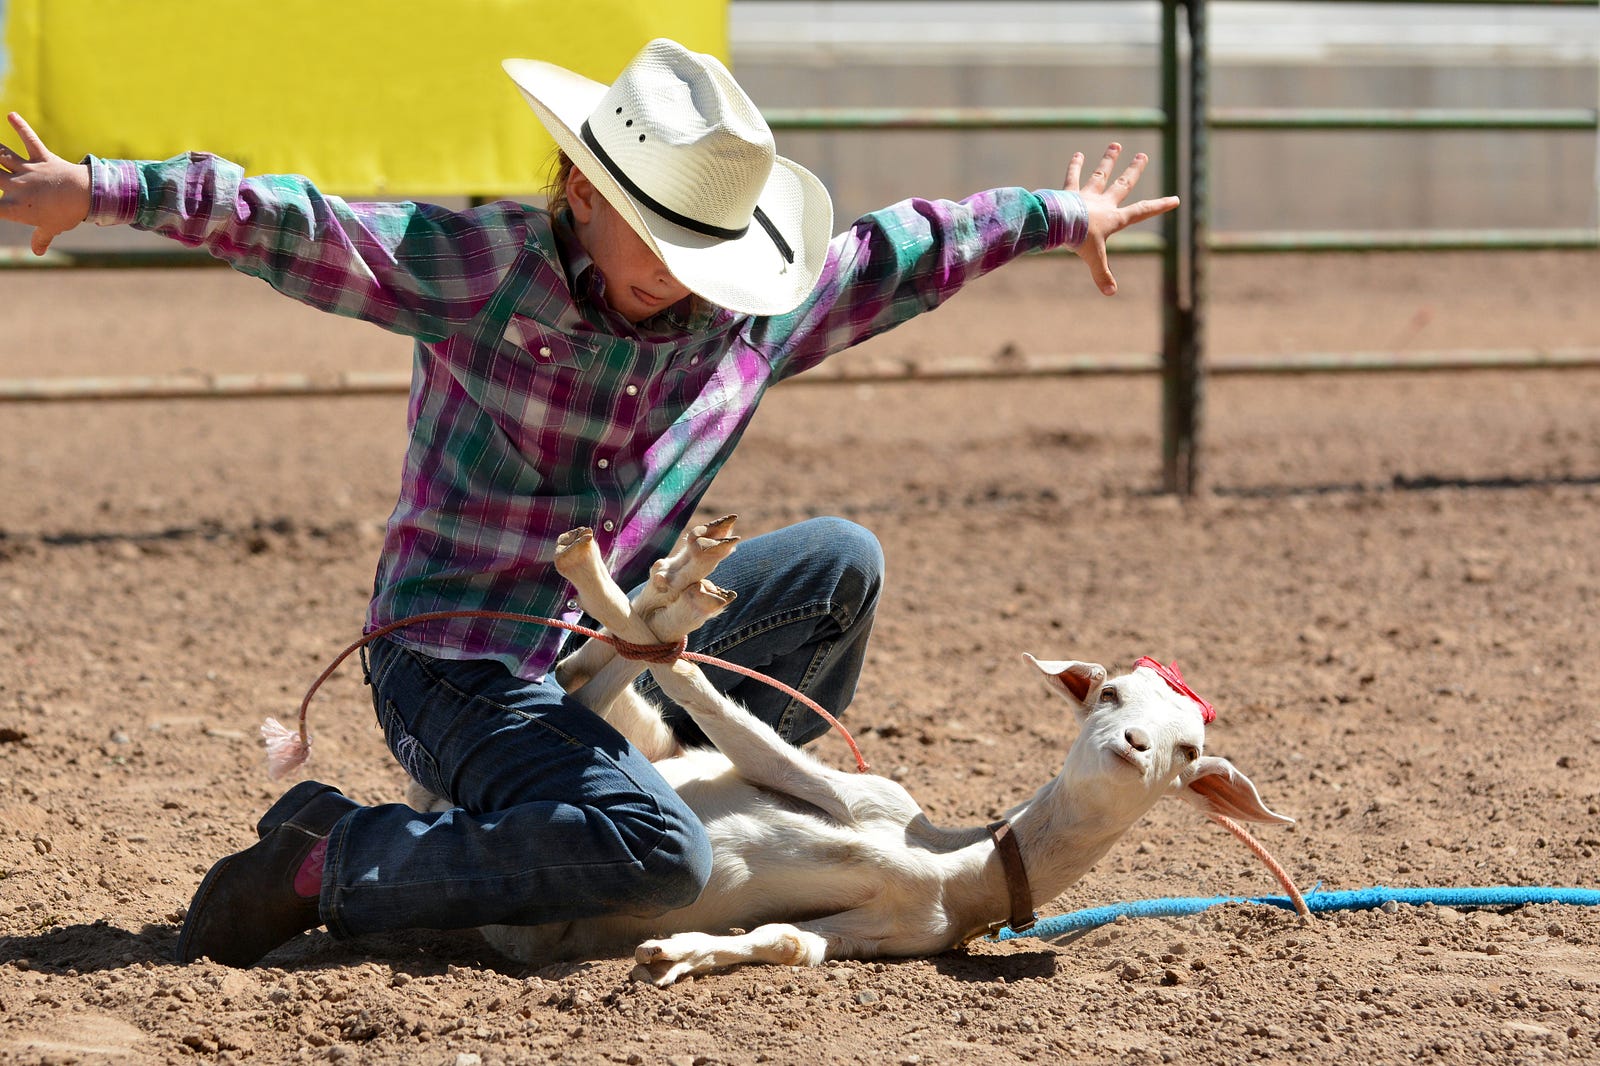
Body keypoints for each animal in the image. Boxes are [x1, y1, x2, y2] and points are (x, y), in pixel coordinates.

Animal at [406, 518, 1292, 985]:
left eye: (1188, 748)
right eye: (1109, 694)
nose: (1136, 744)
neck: (957, 864)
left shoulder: (900, 932)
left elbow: (789, 942)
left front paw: (674, 954)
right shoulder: (859, 794)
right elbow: (726, 715)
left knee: (581, 677)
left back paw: (672, 577)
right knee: (597, 667)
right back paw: (656, 575)